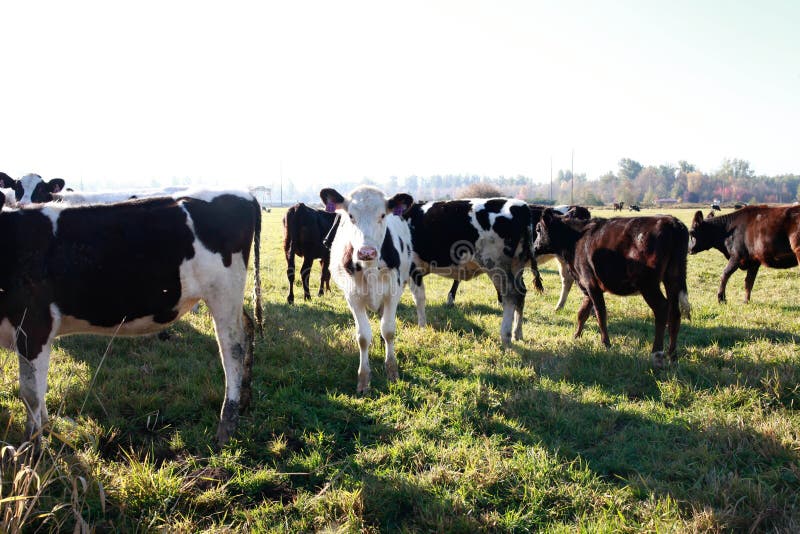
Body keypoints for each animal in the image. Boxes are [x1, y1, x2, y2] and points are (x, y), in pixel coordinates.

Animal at [0, 188, 262, 448]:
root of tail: (244, 194)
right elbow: (38, 390)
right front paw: (45, 430)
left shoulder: (34, 324)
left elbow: (30, 394)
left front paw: (31, 449)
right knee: (248, 328)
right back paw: (244, 400)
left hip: (223, 291)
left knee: (233, 348)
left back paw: (227, 425)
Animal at [322, 186, 414, 393]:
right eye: (350, 216)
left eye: (382, 215)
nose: (367, 252)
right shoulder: (353, 298)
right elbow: (363, 337)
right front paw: (363, 379)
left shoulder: (392, 294)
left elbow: (388, 330)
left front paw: (392, 370)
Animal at [534, 210, 691, 367]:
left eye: (538, 229)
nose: (534, 248)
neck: (576, 240)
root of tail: (672, 221)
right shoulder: (587, 285)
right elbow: (582, 313)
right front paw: (576, 336)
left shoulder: (591, 284)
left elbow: (600, 313)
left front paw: (606, 343)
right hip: (673, 278)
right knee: (674, 313)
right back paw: (672, 355)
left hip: (648, 284)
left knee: (662, 308)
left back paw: (657, 353)